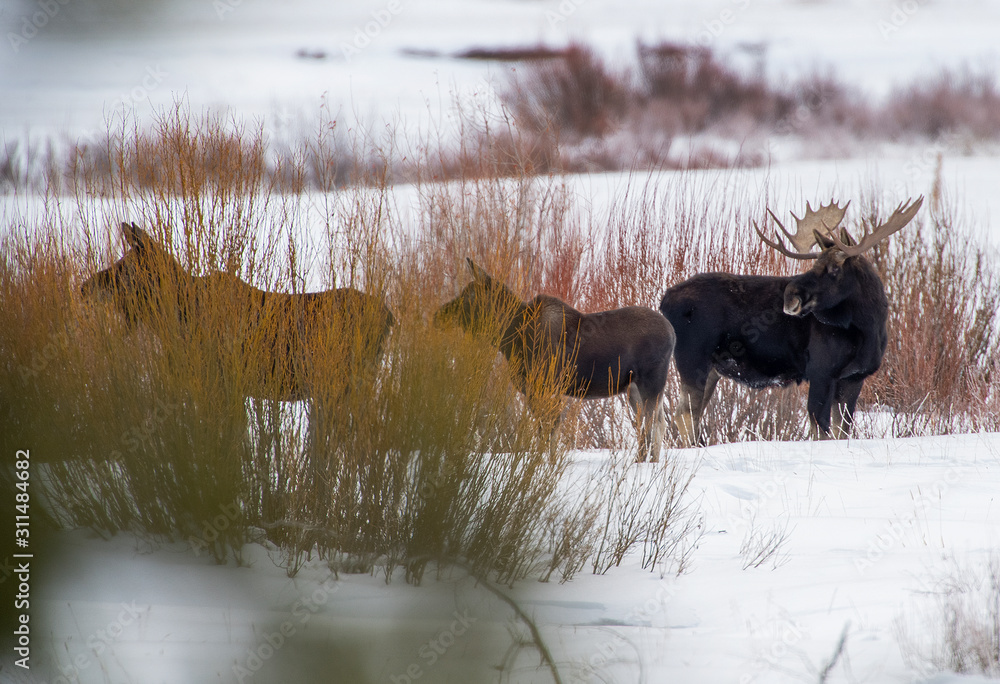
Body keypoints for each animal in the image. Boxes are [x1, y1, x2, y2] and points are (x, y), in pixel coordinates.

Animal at [659, 197, 923, 445]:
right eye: (815, 264)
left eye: (834, 268)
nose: (791, 296)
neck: (870, 327)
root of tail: (664, 301)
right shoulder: (821, 370)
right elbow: (821, 430)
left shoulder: (853, 378)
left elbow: (842, 430)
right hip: (693, 358)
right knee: (683, 414)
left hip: (712, 368)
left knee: (691, 413)